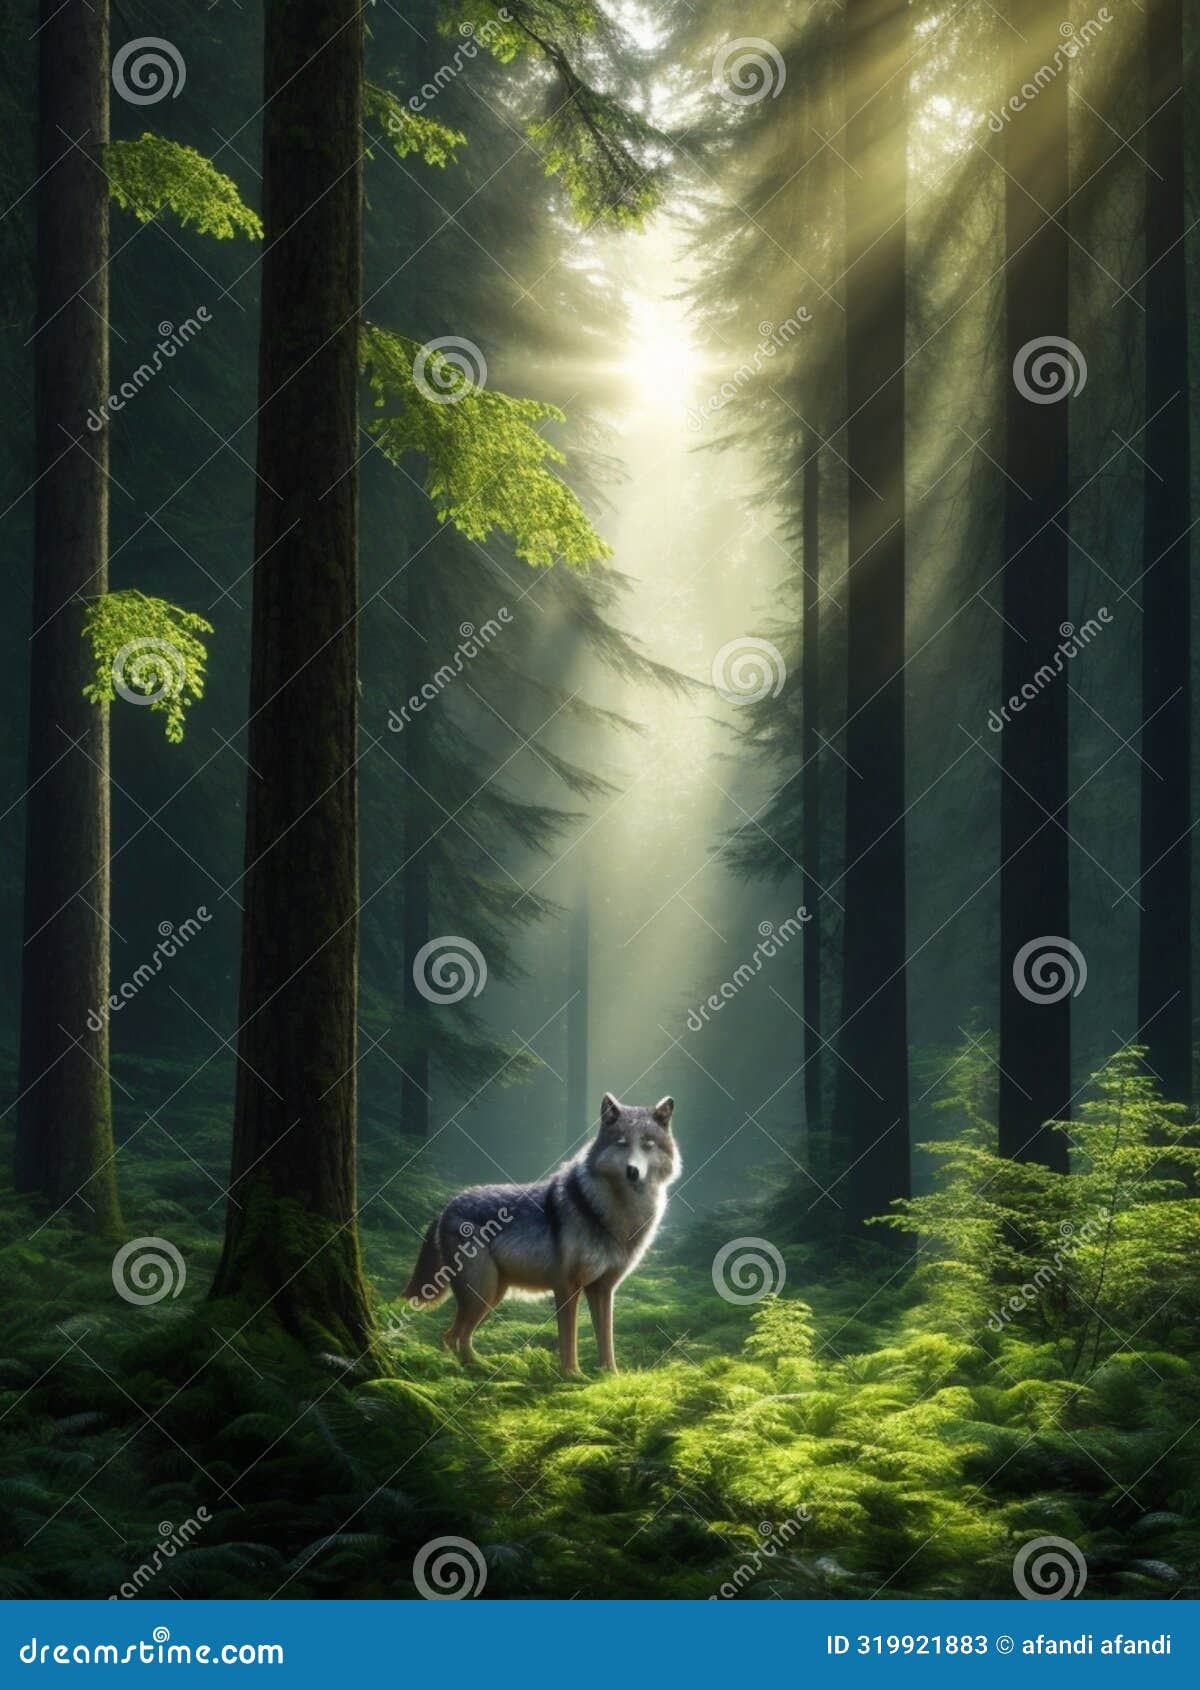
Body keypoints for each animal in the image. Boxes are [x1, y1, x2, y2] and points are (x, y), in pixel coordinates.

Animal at [403, 1093, 679, 1373]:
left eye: (648, 1145)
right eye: (621, 1143)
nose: (633, 1171)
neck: (613, 1214)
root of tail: (447, 1206)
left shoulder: (602, 1289)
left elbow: (606, 1341)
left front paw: (610, 1375)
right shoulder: (567, 1286)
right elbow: (568, 1340)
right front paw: (573, 1375)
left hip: (492, 1297)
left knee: (459, 1336)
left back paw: (478, 1367)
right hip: (483, 1294)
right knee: (451, 1336)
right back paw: (464, 1371)